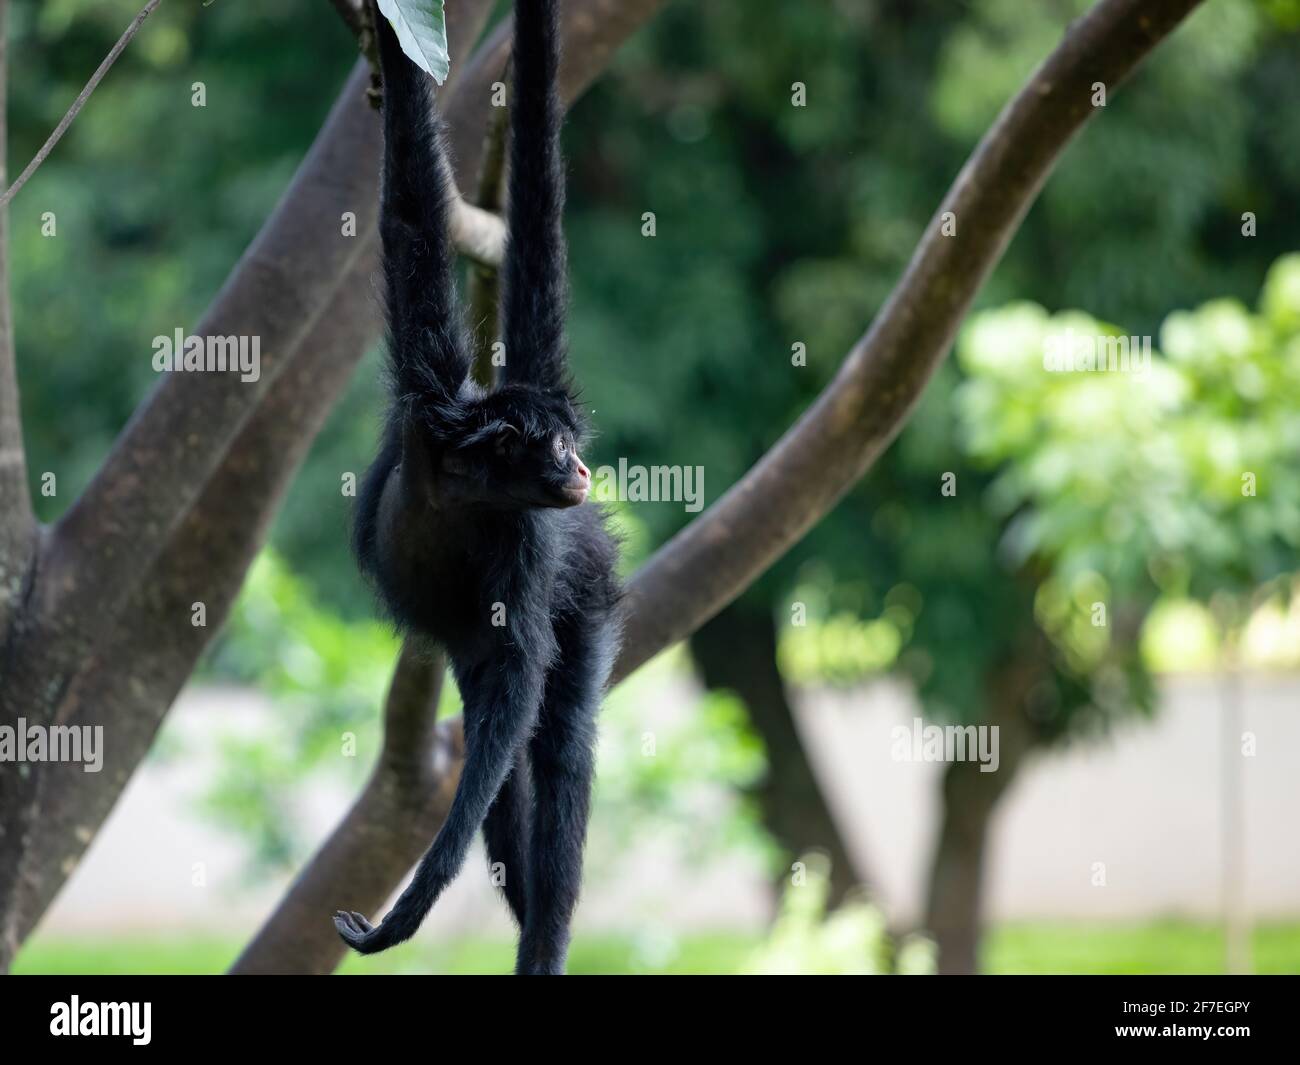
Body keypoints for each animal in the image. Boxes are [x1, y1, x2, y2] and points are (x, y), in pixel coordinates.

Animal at [332, 0, 621, 975]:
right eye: (557, 445)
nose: (579, 468)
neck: (462, 493)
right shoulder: (430, 402)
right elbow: (410, 218)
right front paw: (397, 53)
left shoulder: (529, 534)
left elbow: (523, 684)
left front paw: (410, 904)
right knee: (505, 775)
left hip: (593, 589)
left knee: (558, 746)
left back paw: (547, 934)